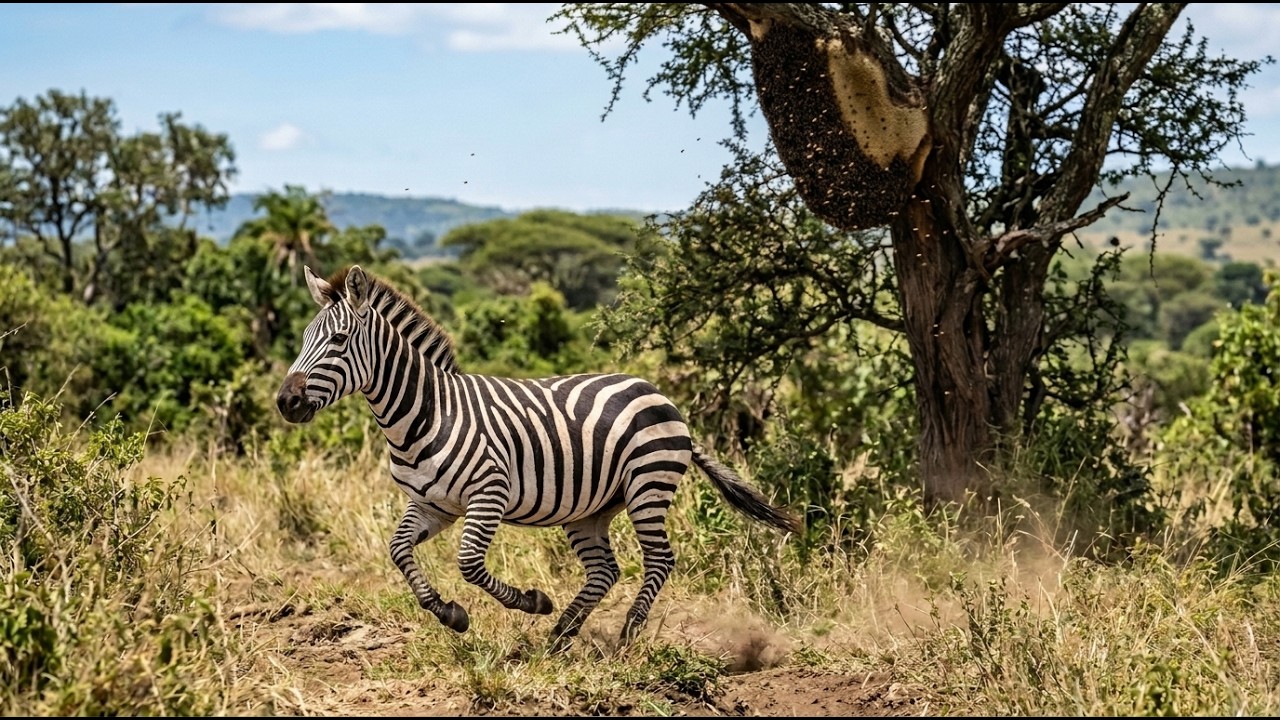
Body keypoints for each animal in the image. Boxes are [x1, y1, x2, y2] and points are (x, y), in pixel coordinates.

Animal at [276, 264, 802, 648]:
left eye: (338, 341)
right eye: (301, 341)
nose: (286, 401)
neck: (425, 413)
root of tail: (660, 394)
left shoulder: (489, 493)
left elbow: (469, 563)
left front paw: (531, 602)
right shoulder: (432, 504)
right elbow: (399, 550)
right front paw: (450, 614)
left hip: (647, 486)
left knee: (659, 560)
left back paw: (625, 636)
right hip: (590, 509)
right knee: (605, 570)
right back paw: (561, 635)